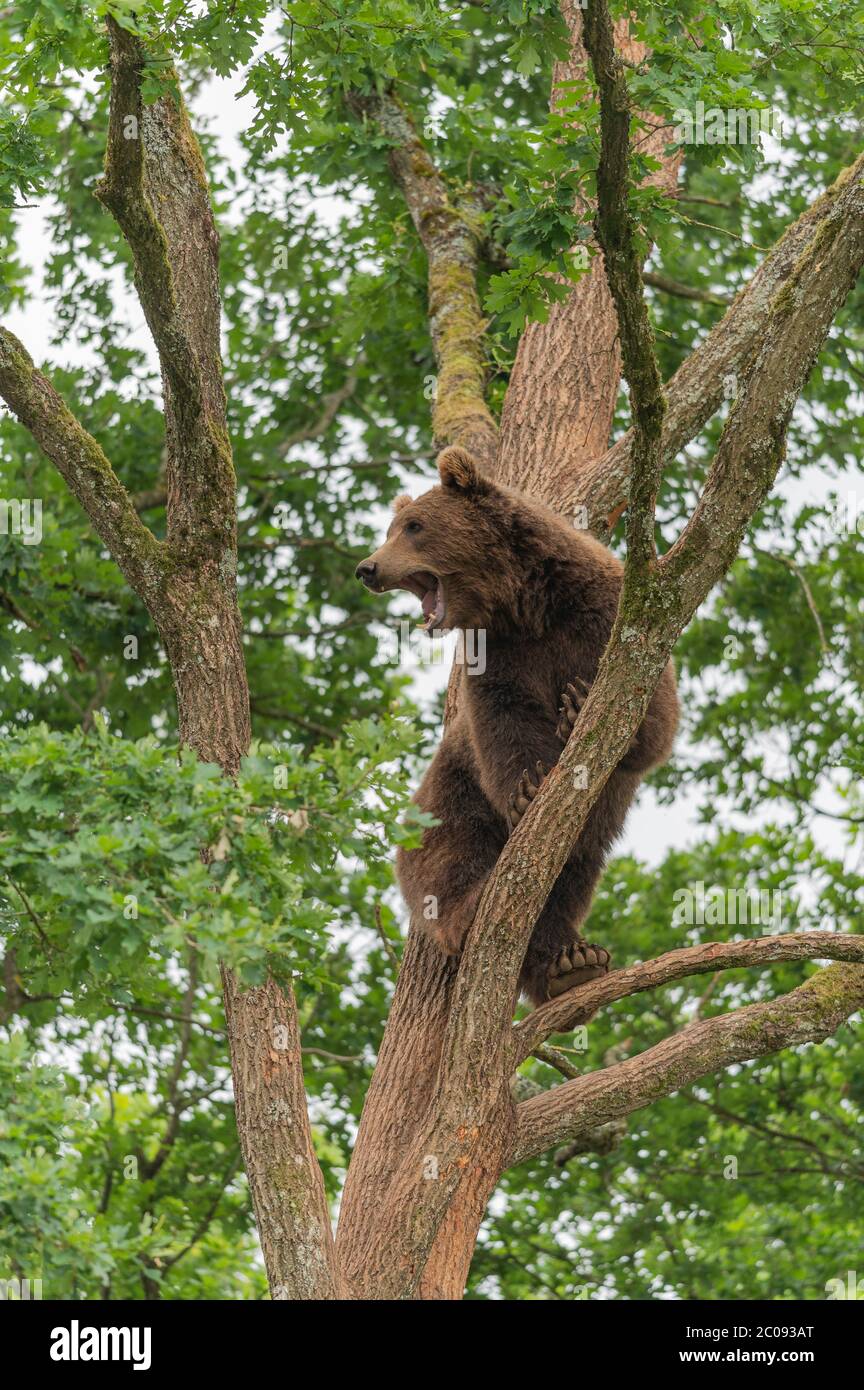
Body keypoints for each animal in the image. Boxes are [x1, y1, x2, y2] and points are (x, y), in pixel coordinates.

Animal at [355, 445, 679, 1006]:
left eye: (413, 526)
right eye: (392, 528)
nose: (367, 567)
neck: (525, 605)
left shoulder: (607, 613)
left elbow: (653, 711)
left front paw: (578, 706)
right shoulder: (496, 659)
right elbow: (505, 725)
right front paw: (528, 790)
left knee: (570, 880)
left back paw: (571, 960)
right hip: (447, 801)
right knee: (452, 861)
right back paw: (480, 916)